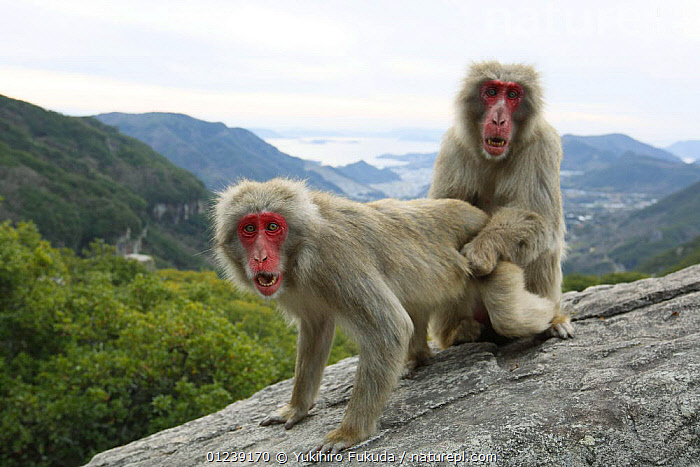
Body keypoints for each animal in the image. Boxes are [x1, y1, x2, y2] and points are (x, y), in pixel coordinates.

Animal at [214, 178, 569, 453]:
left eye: (273, 227)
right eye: (249, 229)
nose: (260, 257)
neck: (302, 249)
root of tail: (483, 219)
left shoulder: (337, 260)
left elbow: (388, 328)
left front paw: (350, 433)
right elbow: (317, 329)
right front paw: (296, 408)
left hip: (496, 263)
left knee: (508, 317)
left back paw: (554, 318)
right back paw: (419, 358)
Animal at [429, 61, 573, 344]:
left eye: (513, 95)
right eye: (492, 92)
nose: (498, 119)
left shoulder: (543, 145)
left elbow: (537, 218)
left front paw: (482, 249)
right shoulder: (453, 147)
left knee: (543, 246)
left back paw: (552, 320)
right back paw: (458, 331)